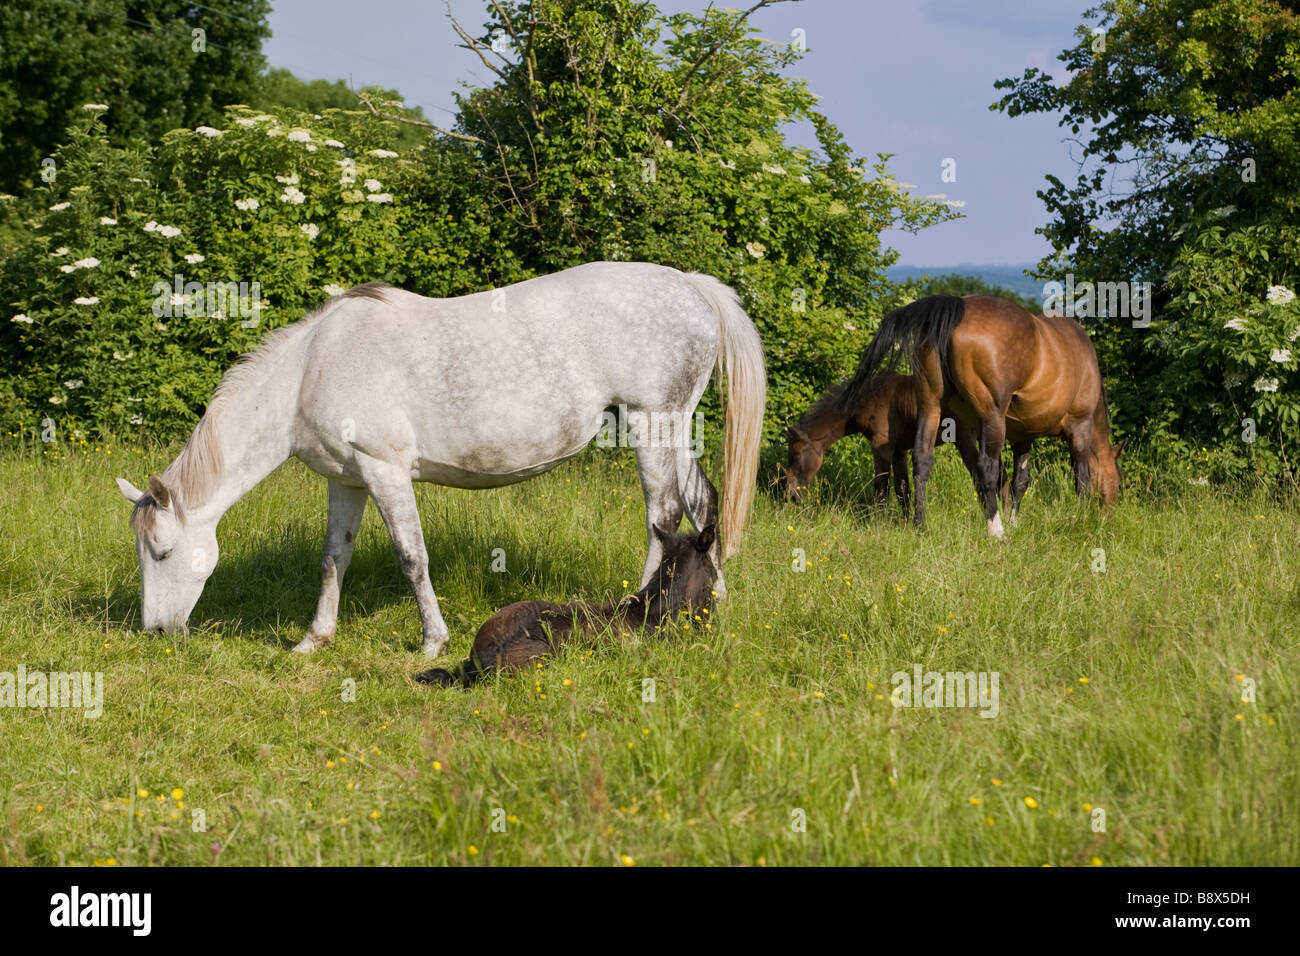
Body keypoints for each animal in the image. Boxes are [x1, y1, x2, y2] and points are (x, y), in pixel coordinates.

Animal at [113, 262, 766, 657]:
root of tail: (689, 285)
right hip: (671, 430)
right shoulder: (347, 482)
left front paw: (432, 641)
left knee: (663, 517)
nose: (156, 631)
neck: (312, 368)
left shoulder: (384, 471)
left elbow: (412, 558)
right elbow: (333, 559)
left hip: (652, 425)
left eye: (163, 552)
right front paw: (314, 639)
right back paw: (715, 603)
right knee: (702, 507)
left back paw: (641, 615)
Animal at [782, 373, 984, 514]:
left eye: (795, 455)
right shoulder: (899, 450)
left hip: (965, 439)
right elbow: (902, 489)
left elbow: (881, 486)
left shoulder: (881, 444)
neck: (867, 398)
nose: (791, 495)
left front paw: (879, 525)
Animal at [839, 294, 1122, 537]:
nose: (1110, 517)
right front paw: (1080, 518)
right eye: (1118, 484)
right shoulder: (1079, 429)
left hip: (930, 407)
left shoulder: (1023, 436)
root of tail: (956, 306)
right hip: (992, 418)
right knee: (986, 467)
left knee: (922, 460)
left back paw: (921, 525)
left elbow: (1020, 481)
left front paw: (1015, 521)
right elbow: (1081, 479)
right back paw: (996, 531)